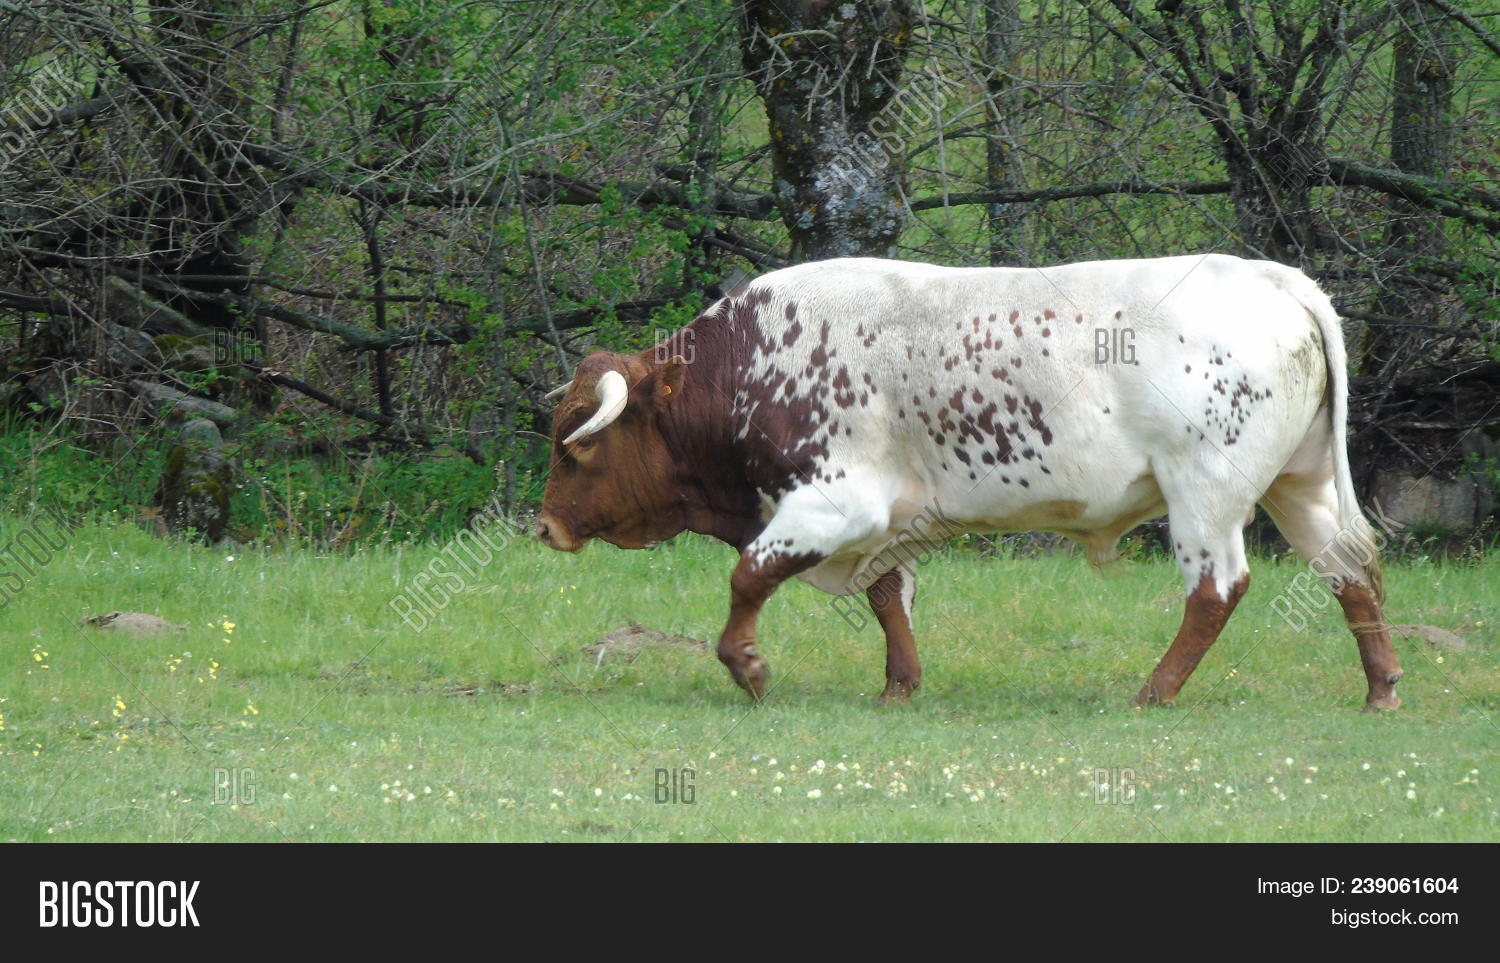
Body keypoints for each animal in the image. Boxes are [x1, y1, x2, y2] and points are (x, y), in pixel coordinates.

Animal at [535, 255, 1402, 711]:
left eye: (579, 445)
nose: (546, 527)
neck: (750, 367)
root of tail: (1272, 276)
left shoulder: (834, 502)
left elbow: (749, 574)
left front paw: (745, 665)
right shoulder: (888, 521)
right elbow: (889, 596)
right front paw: (899, 685)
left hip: (1205, 492)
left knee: (1217, 589)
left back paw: (1155, 690)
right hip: (1299, 484)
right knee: (1349, 568)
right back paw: (1382, 685)